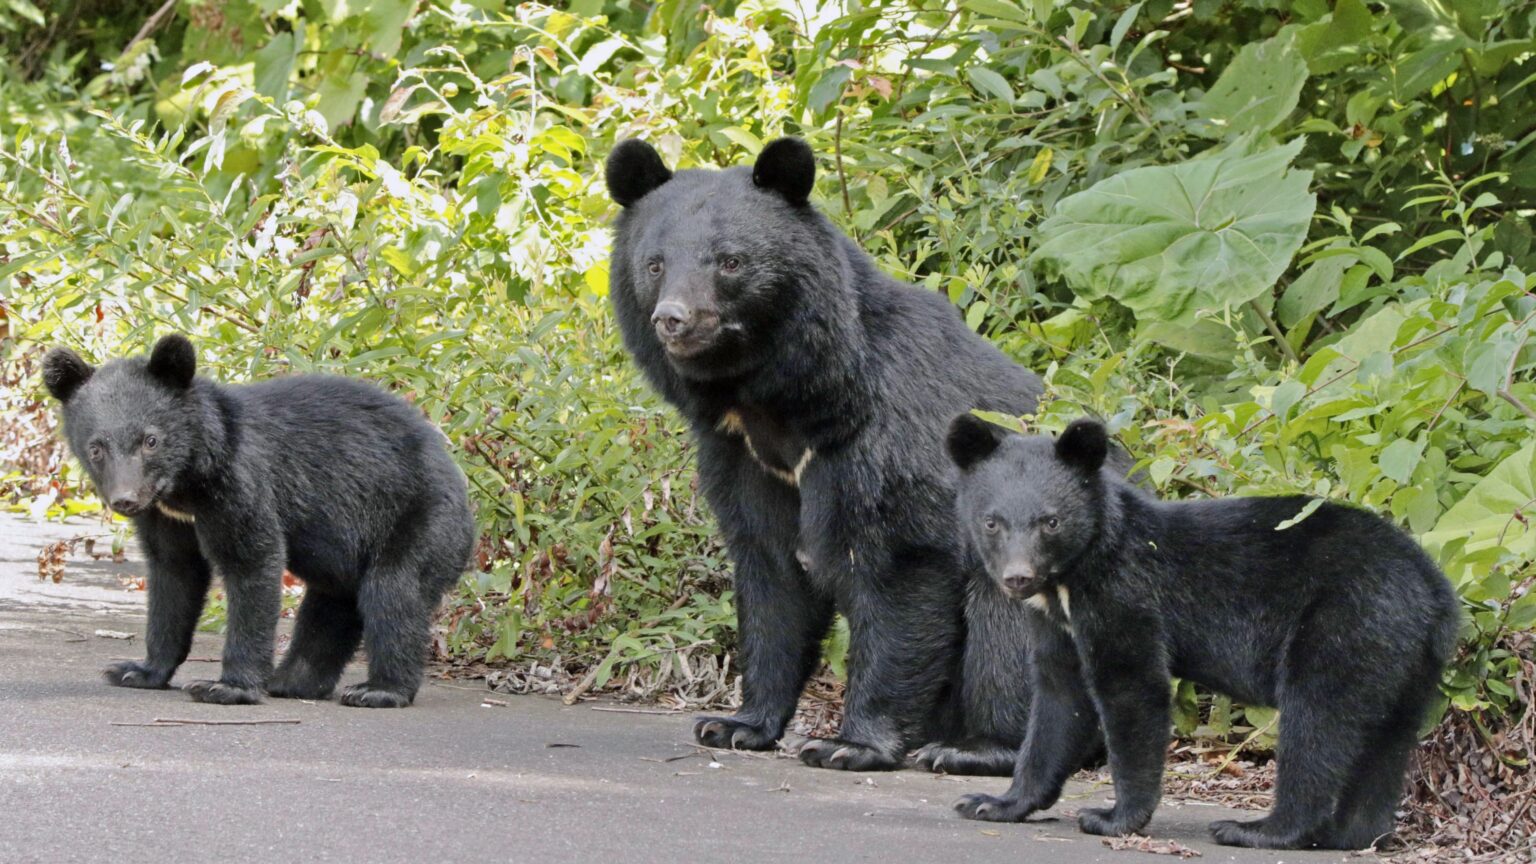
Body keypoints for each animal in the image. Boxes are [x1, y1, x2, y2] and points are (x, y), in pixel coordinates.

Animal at [42, 334, 476, 708]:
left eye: (150, 440)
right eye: (96, 448)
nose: (127, 499)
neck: (187, 485)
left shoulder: (241, 482)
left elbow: (252, 561)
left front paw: (227, 686)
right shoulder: (165, 517)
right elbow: (174, 575)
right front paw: (138, 671)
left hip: (417, 519)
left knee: (394, 593)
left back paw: (379, 689)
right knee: (332, 607)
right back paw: (293, 681)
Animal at [604, 135, 1059, 773]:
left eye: (730, 262)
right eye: (654, 264)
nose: (674, 319)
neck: (780, 403)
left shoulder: (886, 439)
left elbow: (900, 567)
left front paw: (850, 743)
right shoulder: (741, 458)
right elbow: (771, 572)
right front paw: (736, 724)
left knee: (1007, 624)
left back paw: (973, 748)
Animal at [945, 413, 1460, 849]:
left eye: (1050, 522)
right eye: (991, 522)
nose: (1018, 577)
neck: (1073, 579)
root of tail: (1436, 590)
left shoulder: (1125, 597)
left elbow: (1132, 689)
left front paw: (1113, 817)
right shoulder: (1058, 623)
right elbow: (1059, 697)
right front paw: (994, 802)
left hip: (1346, 622)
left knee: (1317, 721)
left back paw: (1260, 829)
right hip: (1403, 656)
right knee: (1387, 742)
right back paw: (1351, 834)